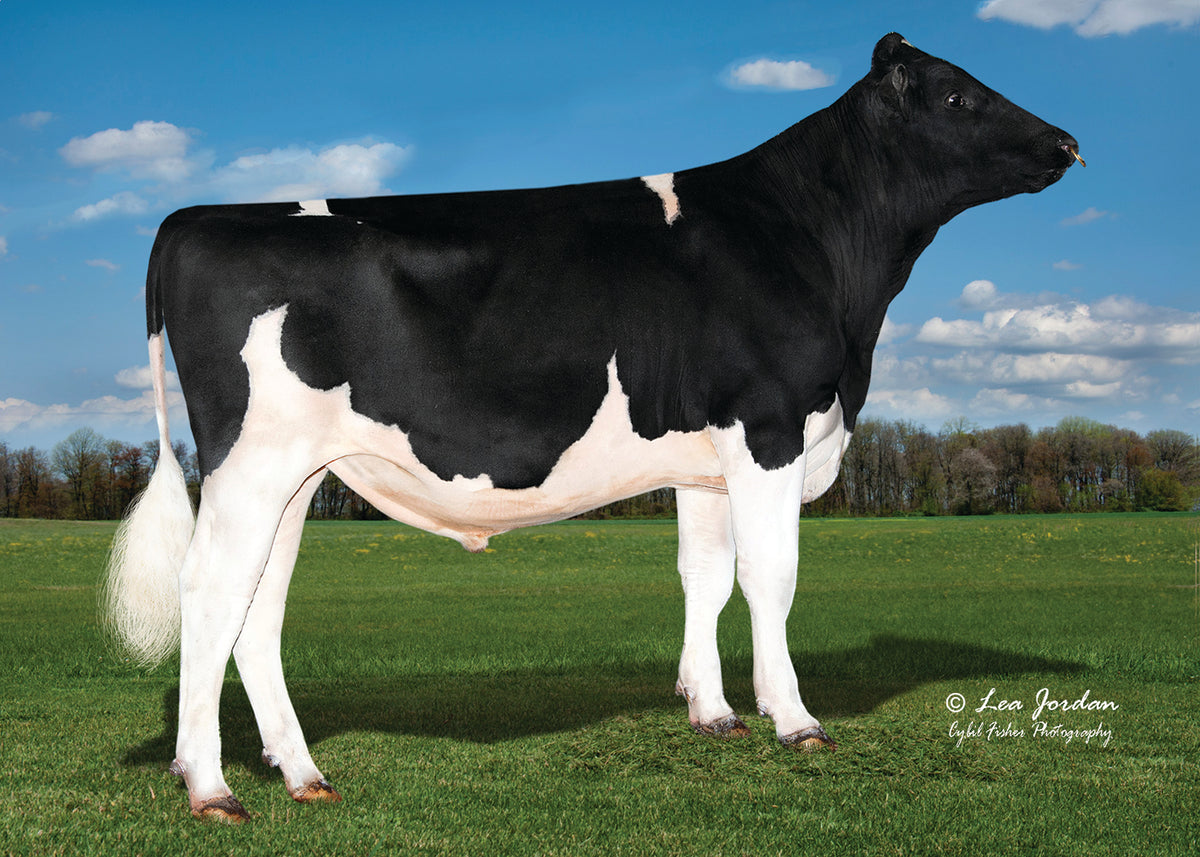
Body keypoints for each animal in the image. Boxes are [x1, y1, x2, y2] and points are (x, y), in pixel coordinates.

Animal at [102, 33, 1081, 821]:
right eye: (957, 97)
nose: (1068, 142)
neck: (814, 246)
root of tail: (196, 215)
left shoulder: (703, 456)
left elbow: (704, 578)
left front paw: (714, 712)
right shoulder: (767, 425)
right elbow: (770, 578)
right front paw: (795, 719)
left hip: (295, 474)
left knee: (257, 604)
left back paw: (302, 772)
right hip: (250, 460)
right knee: (210, 592)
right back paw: (211, 785)